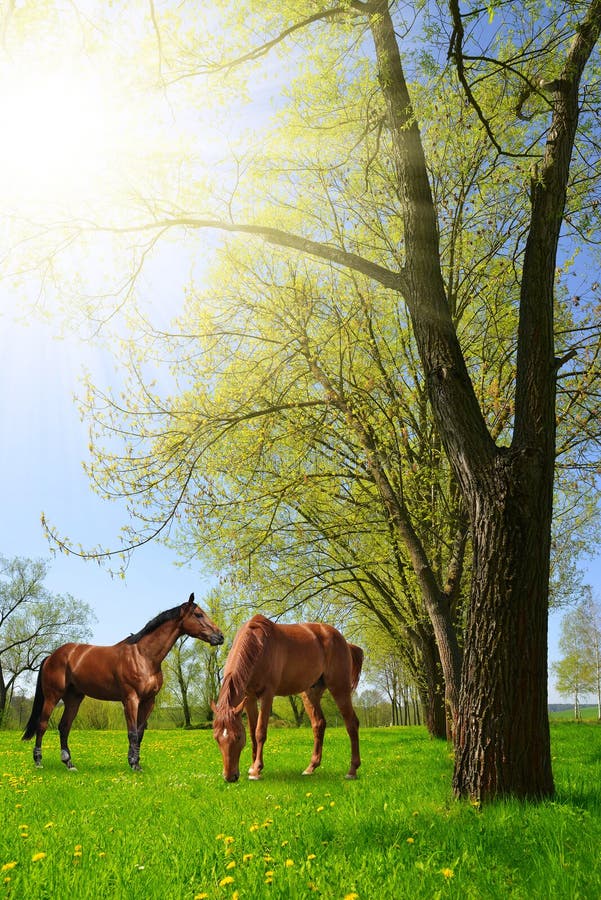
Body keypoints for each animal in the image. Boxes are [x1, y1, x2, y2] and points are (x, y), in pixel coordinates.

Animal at [22, 593, 223, 771]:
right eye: (198, 614)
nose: (220, 636)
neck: (144, 656)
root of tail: (52, 656)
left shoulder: (149, 701)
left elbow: (140, 733)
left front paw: (136, 762)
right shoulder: (130, 699)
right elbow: (132, 733)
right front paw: (134, 764)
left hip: (74, 698)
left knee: (64, 727)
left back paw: (69, 764)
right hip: (52, 696)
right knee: (42, 725)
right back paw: (38, 762)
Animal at [211, 614, 363, 782]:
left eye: (238, 737)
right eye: (216, 738)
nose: (230, 777)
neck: (258, 645)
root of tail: (344, 641)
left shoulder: (267, 695)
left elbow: (260, 732)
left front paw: (257, 770)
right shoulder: (249, 698)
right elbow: (252, 732)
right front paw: (252, 767)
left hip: (339, 688)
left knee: (351, 723)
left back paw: (352, 770)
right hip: (310, 693)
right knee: (319, 724)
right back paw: (311, 767)